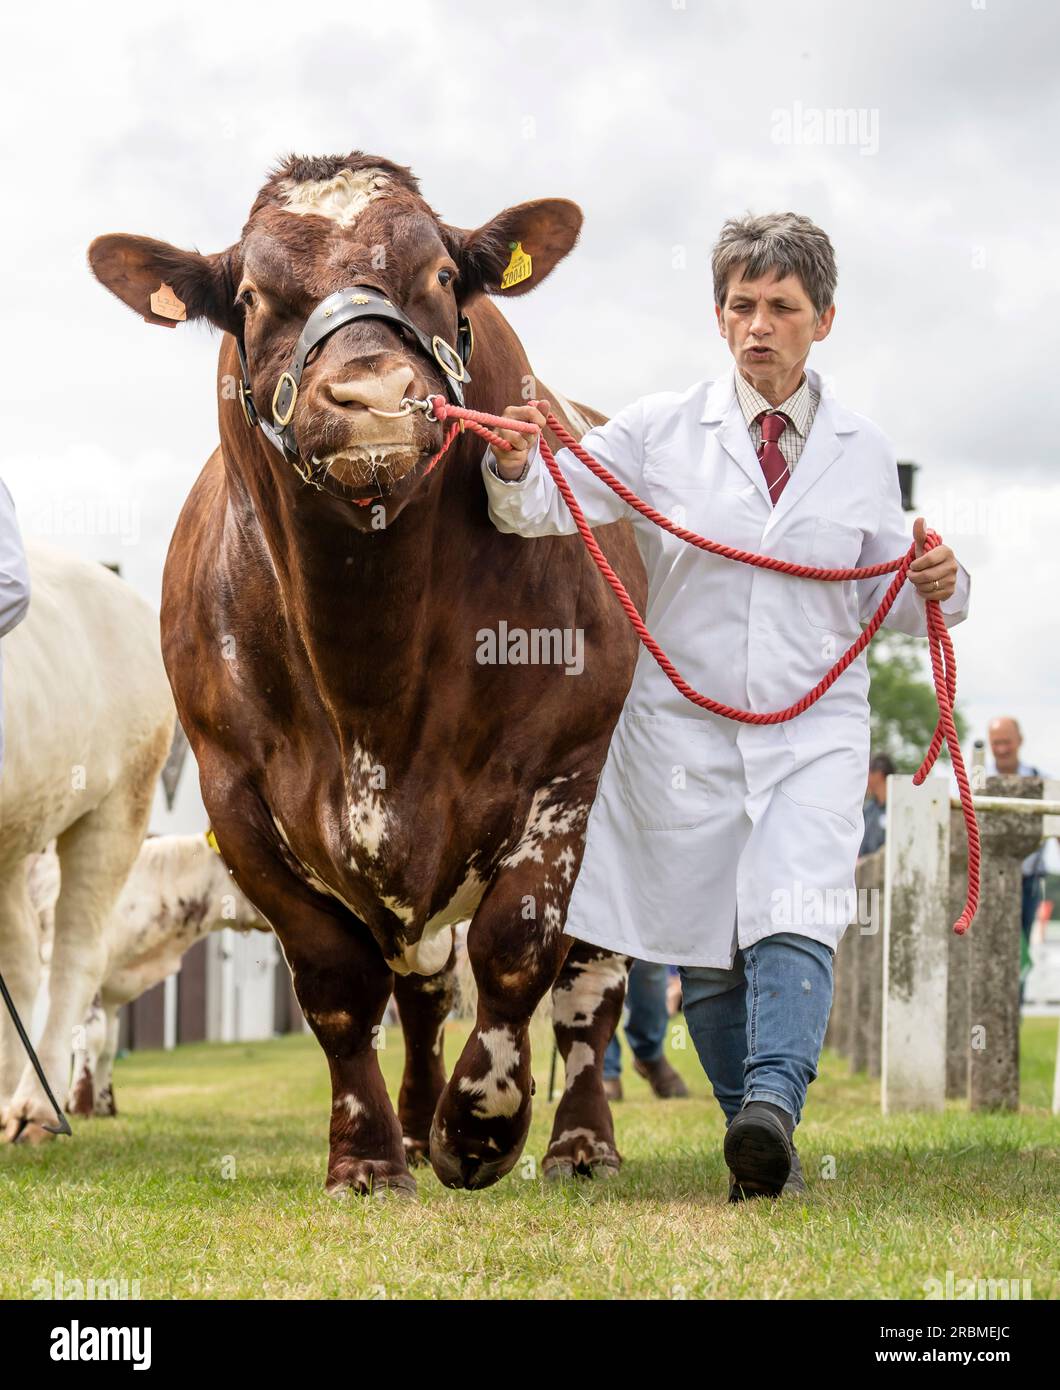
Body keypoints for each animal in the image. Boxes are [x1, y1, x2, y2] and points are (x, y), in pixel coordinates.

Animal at [88, 152, 648, 1196]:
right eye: (253, 297)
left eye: (441, 275)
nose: (375, 398)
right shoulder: (235, 796)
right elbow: (339, 984)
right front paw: (371, 1156)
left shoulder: (574, 765)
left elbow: (520, 949)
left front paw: (480, 1126)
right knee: (421, 989)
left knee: (591, 987)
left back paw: (578, 1144)